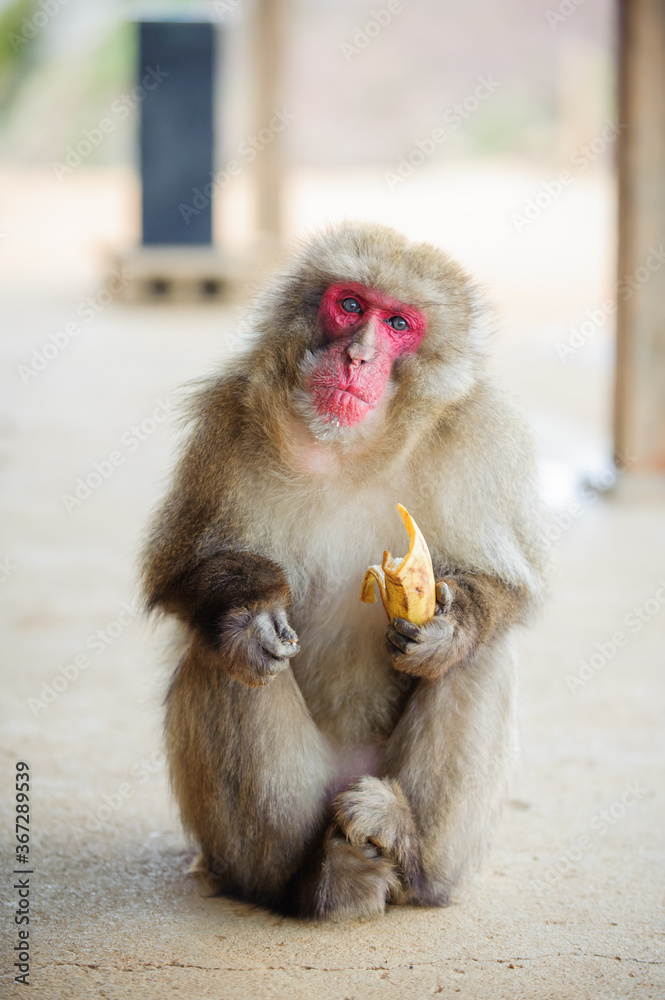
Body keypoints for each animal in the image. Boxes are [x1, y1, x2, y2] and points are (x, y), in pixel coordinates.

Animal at [141, 222, 548, 920]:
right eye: (351, 306)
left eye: (399, 323)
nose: (358, 356)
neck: (351, 452)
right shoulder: (226, 424)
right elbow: (179, 578)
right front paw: (251, 613)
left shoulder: (482, 440)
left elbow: (510, 593)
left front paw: (448, 629)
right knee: (223, 663)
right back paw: (315, 880)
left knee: (482, 658)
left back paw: (408, 850)